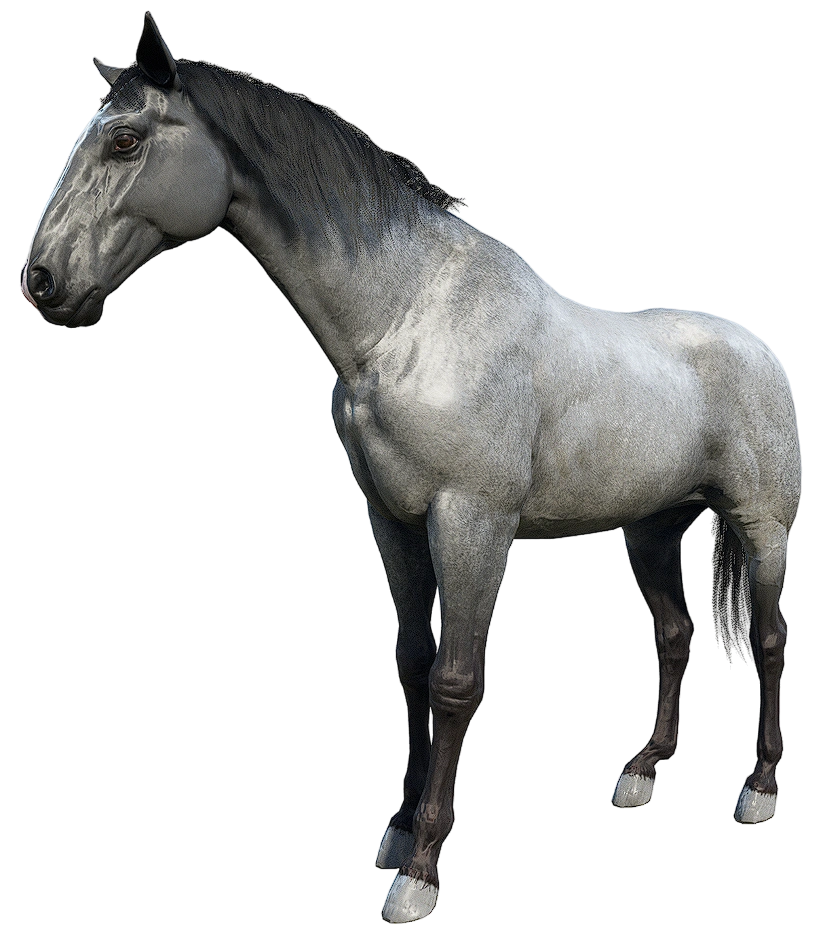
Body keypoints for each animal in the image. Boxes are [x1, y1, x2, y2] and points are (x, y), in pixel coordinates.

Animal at [22, 13, 799, 920]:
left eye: (124, 140)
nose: (42, 281)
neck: (406, 320)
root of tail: (757, 350)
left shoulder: (470, 520)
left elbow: (454, 682)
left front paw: (418, 872)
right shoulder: (392, 521)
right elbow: (410, 666)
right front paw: (393, 834)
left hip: (760, 526)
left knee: (772, 642)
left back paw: (759, 789)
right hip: (648, 529)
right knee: (674, 637)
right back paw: (639, 774)